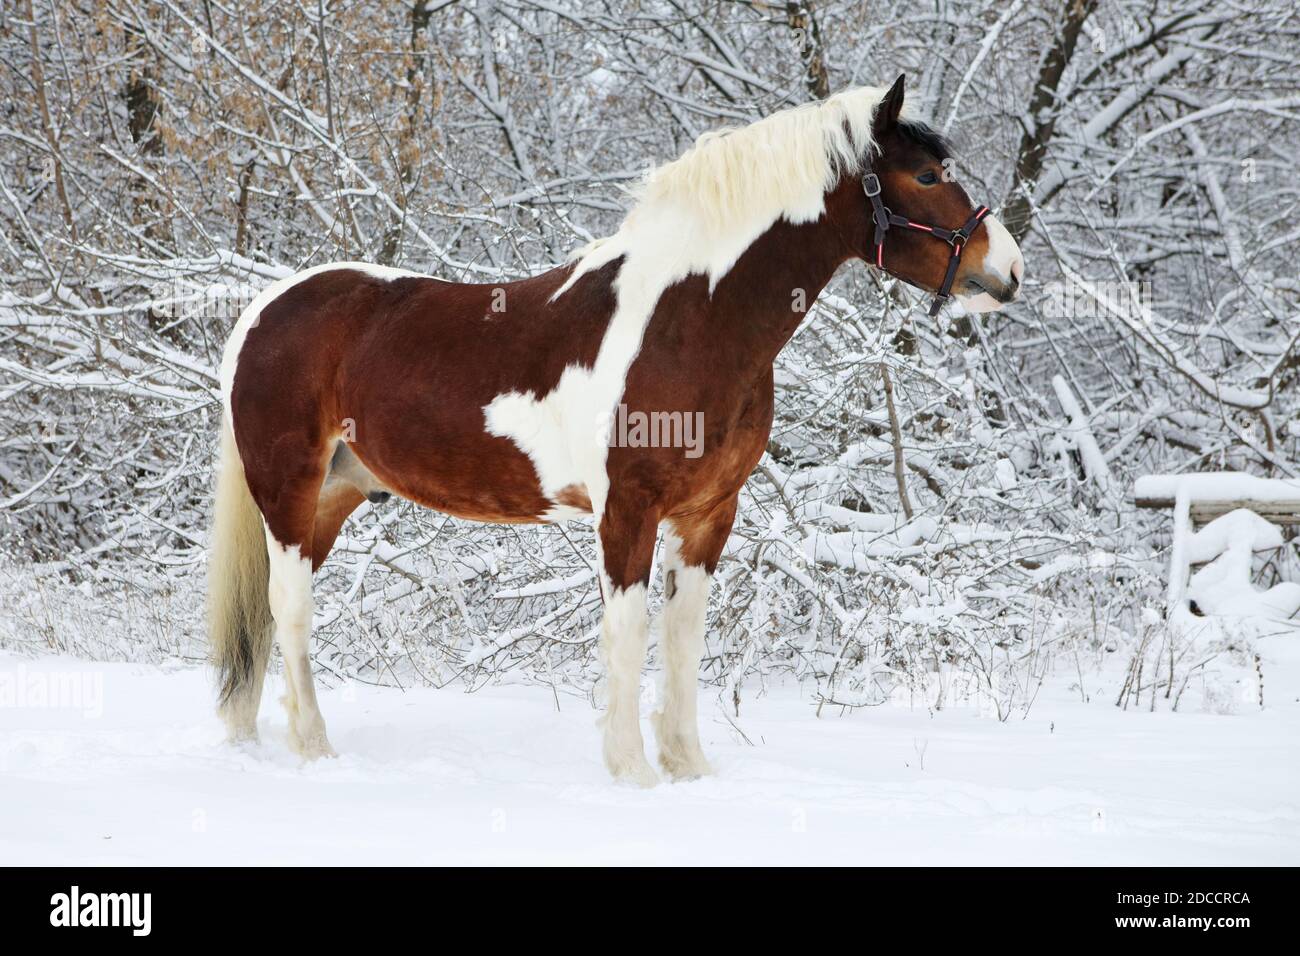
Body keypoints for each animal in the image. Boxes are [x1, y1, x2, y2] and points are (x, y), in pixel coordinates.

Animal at [207, 75, 1024, 785]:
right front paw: (632, 772)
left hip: (334, 497)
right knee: (290, 610)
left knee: (268, 618)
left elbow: (684, 637)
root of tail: (264, 311)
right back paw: (313, 749)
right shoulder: (627, 511)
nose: (1008, 271)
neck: (689, 320)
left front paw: (689, 768)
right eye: (927, 176)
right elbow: (627, 636)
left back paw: (250, 741)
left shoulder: (708, 516)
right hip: (288, 494)